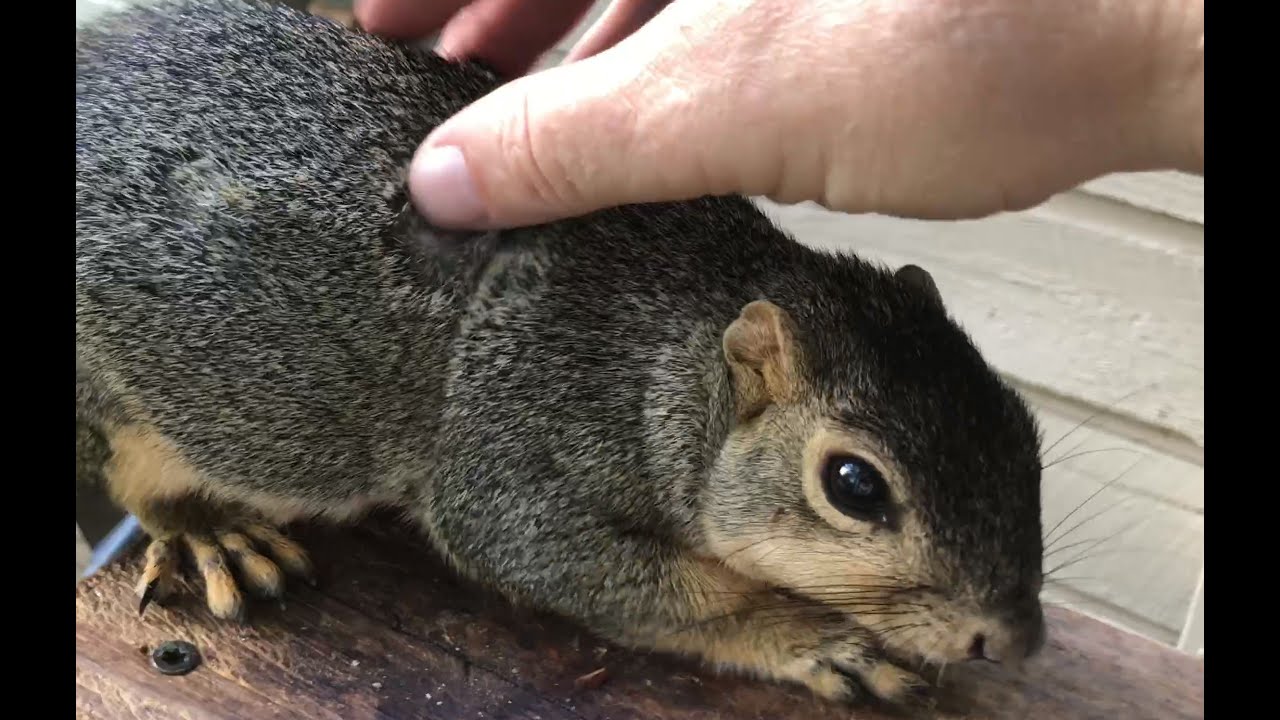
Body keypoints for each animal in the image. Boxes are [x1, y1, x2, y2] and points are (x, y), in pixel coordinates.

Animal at [77, 0, 1047, 707]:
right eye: (854, 485)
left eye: (1022, 426)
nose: (1014, 640)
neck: (671, 351)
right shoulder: (520, 447)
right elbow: (619, 580)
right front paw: (815, 636)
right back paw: (208, 529)